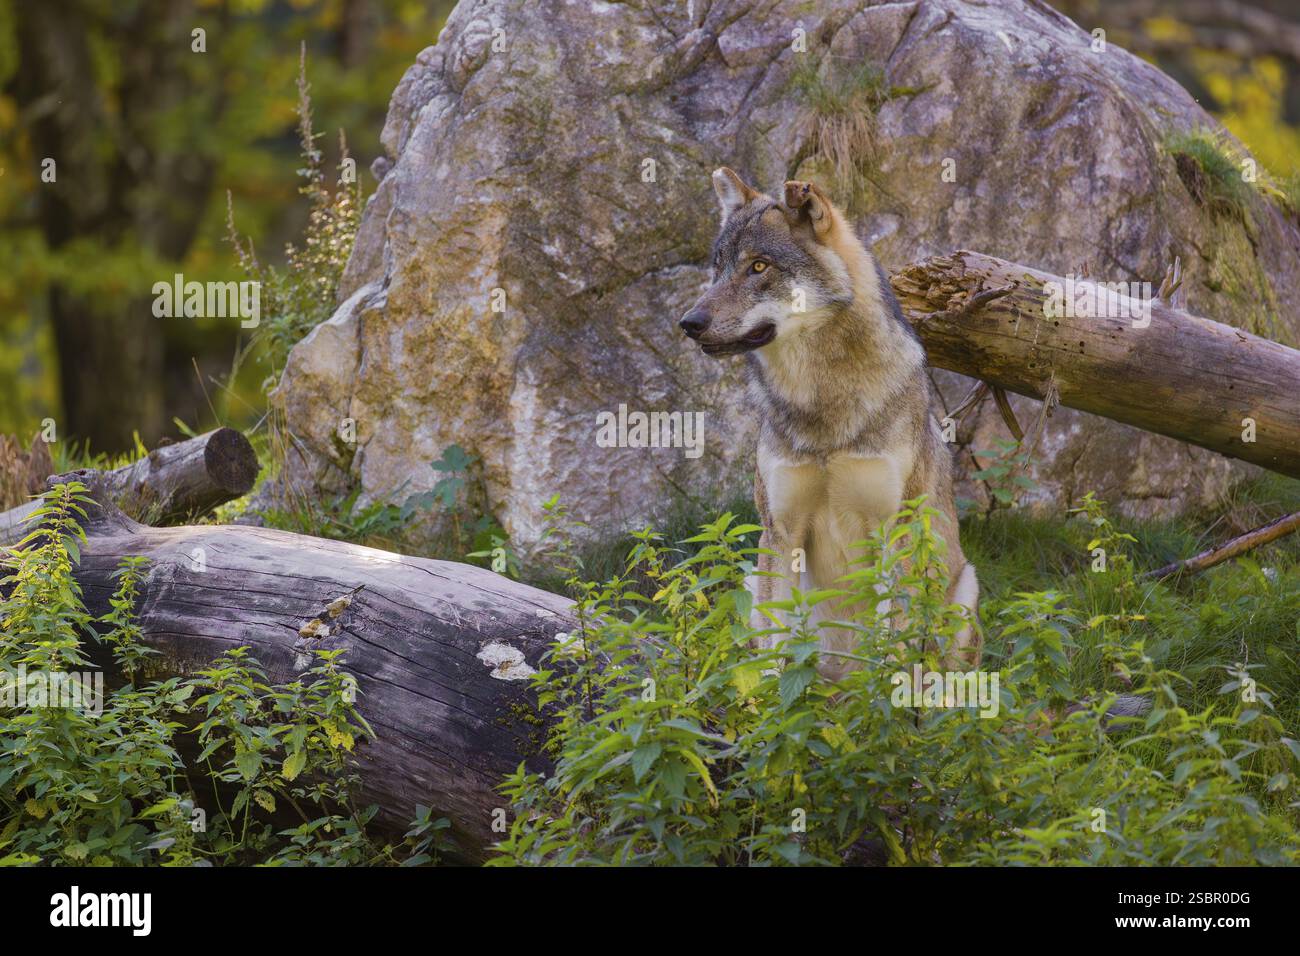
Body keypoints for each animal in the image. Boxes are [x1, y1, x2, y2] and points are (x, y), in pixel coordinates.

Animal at [679, 167, 980, 681]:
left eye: (758, 267)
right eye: (717, 268)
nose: (688, 322)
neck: (823, 405)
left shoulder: (894, 533)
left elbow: (892, 649)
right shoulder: (780, 532)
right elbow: (776, 652)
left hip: (965, 590)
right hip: (753, 575)